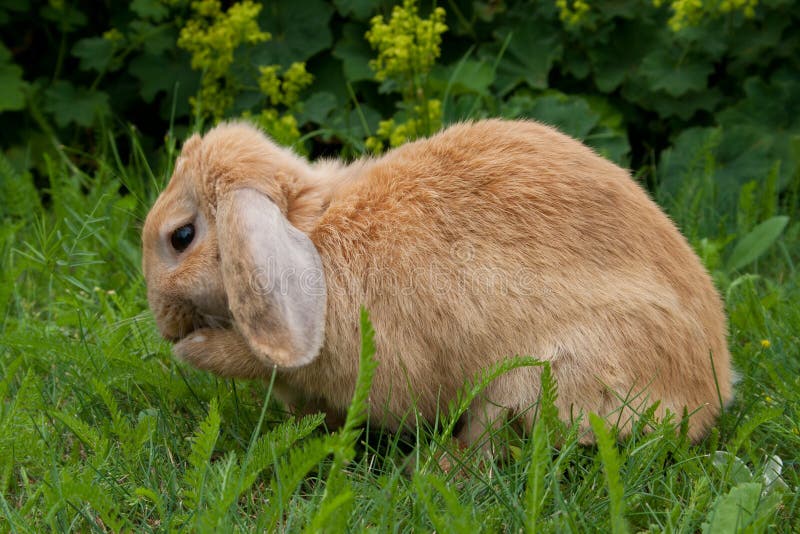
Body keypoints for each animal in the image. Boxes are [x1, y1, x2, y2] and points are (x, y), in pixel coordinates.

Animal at [141, 119, 733, 449]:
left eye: (181, 237)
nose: (164, 324)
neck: (312, 233)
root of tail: (712, 390)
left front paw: (196, 350)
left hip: (530, 378)